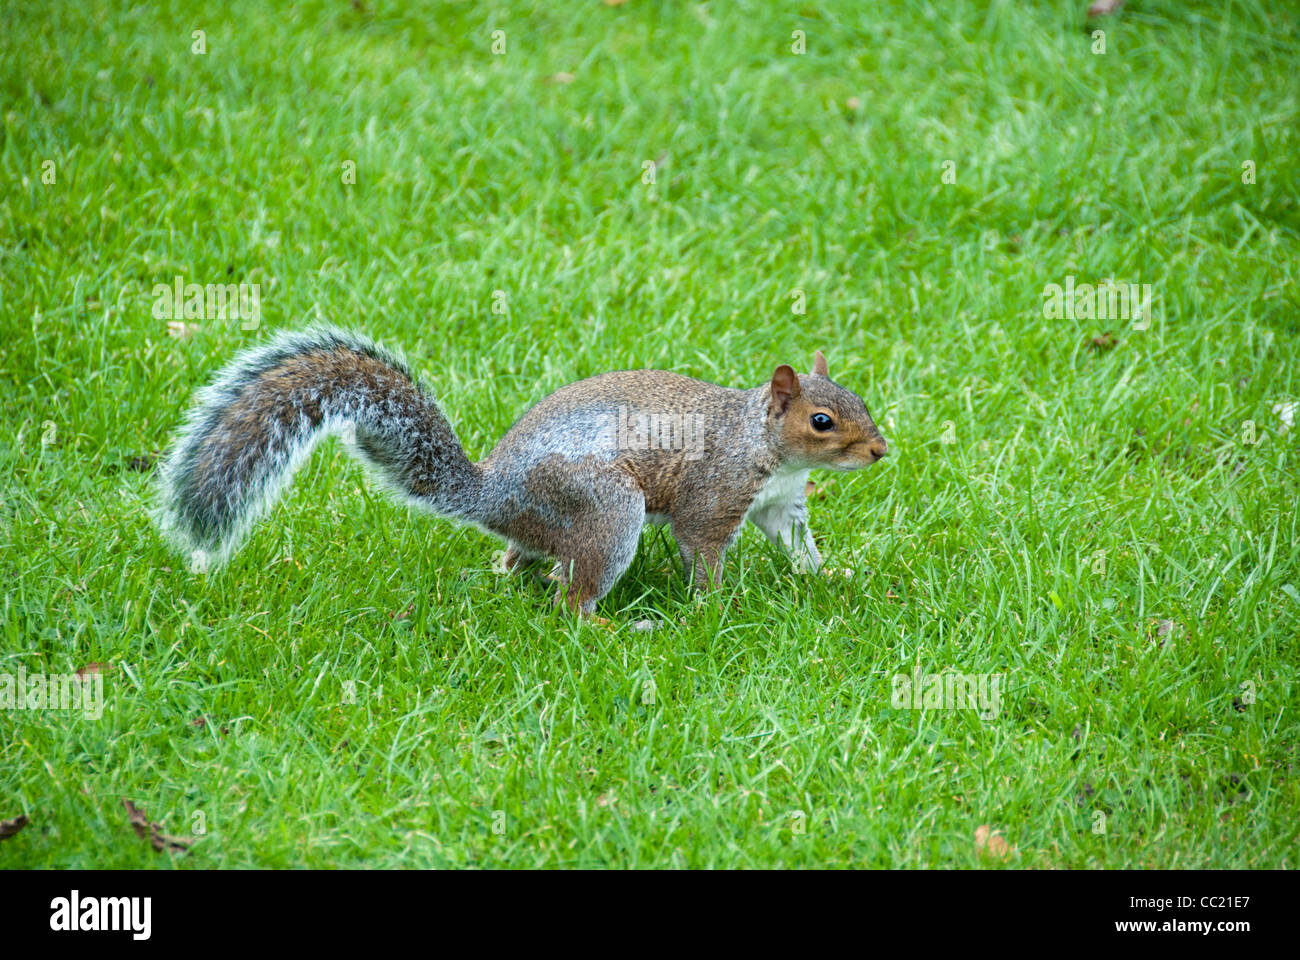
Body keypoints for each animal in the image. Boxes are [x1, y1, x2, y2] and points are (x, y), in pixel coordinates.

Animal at [155, 326, 889, 615]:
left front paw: (831, 578)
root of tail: (489, 493)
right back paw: (611, 626)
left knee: (521, 562)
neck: (765, 447)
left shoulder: (782, 503)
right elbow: (700, 547)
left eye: (858, 400)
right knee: (572, 598)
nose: (881, 451)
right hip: (606, 511)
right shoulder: (715, 496)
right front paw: (716, 606)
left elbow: (800, 548)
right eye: (822, 421)